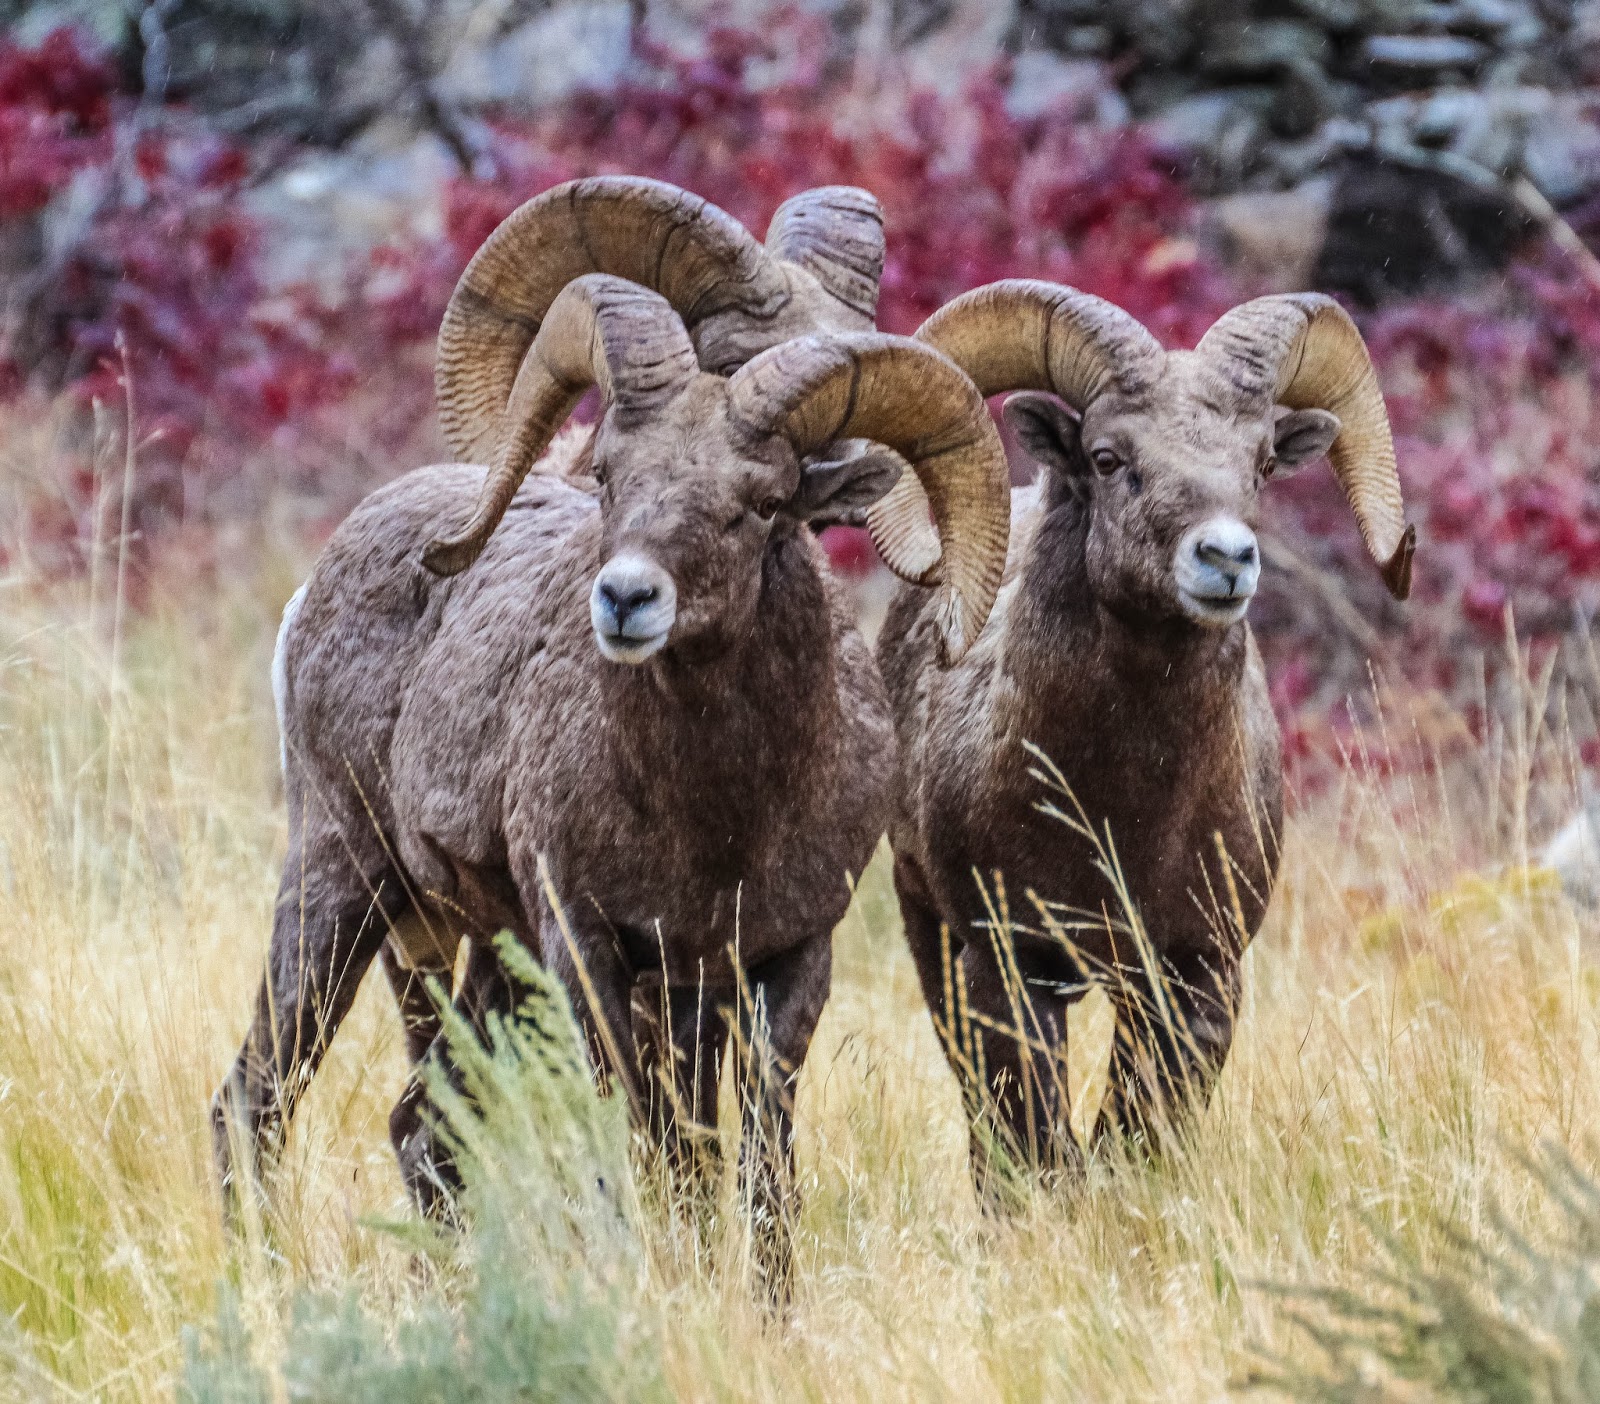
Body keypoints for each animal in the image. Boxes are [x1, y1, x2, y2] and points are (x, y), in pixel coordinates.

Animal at [210, 176, 1013, 1289]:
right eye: (611, 478)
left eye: (759, 502)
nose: (628, 600)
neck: (723, 814)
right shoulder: (594, 953)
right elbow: (626, 1147)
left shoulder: (778, 964)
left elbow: (749, 1167)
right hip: (342, 884)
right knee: (257, 1100)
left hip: (482, 962)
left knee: (425, 1132)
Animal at [876, 279, 1414, 1181]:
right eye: (1106, 458)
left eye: (1262, 463)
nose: (1226, 559)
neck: (1123, 819)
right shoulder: (1009, 966)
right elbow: (1036, 1143)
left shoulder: (1196, 974)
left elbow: (1137, 1137)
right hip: (927, 928)